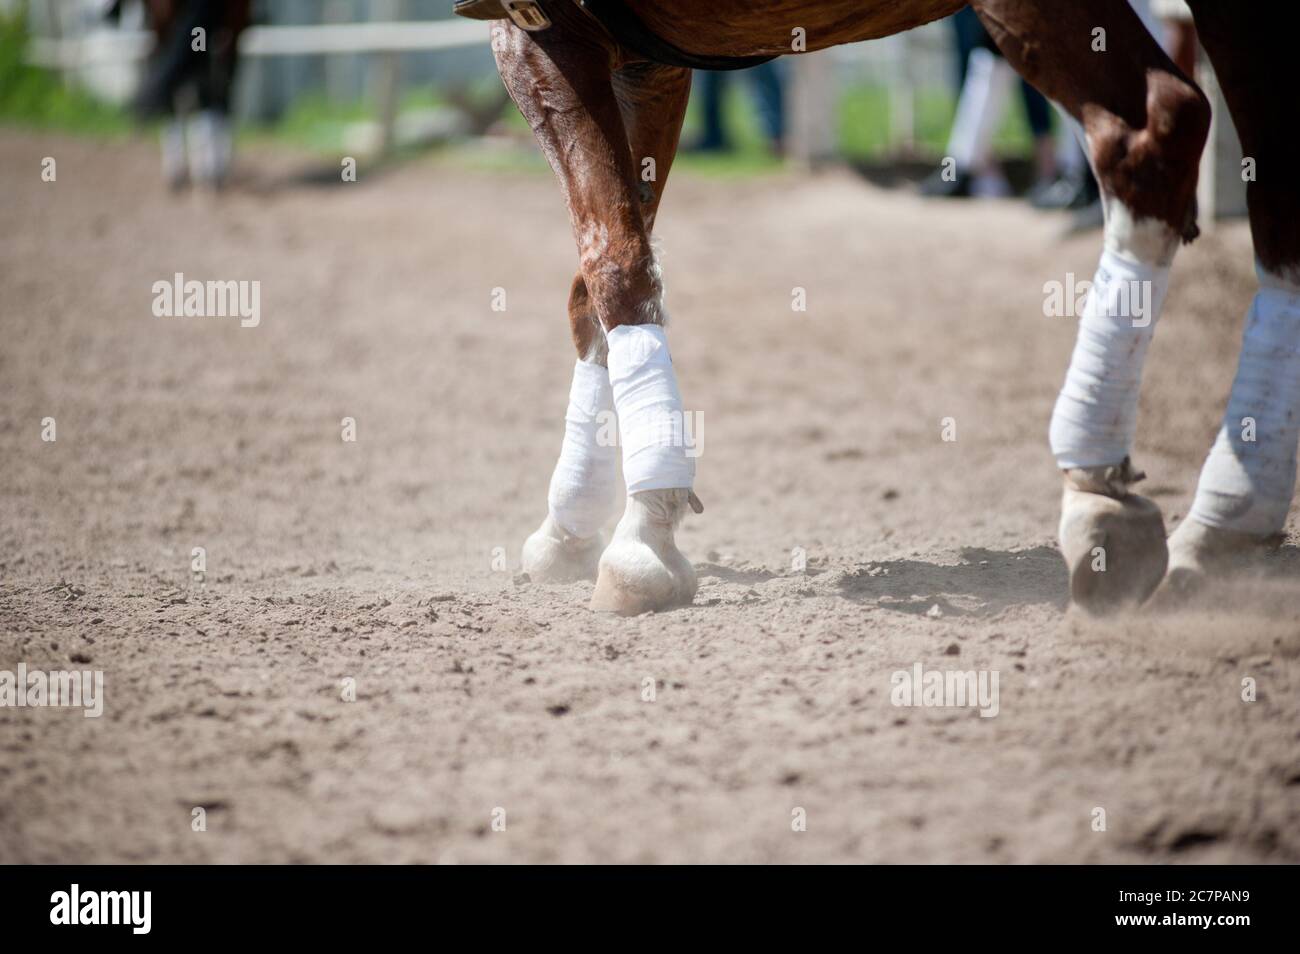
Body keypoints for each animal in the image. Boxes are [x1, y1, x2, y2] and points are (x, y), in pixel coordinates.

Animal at [457, 0, 1300, 615]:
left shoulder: (544, 35)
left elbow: (616, 267)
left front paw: (640, 538)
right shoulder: (647, 61)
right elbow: (599, 283)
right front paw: (571, 525)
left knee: (1152, 128)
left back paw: (1099, 494)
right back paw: (1230, 517)